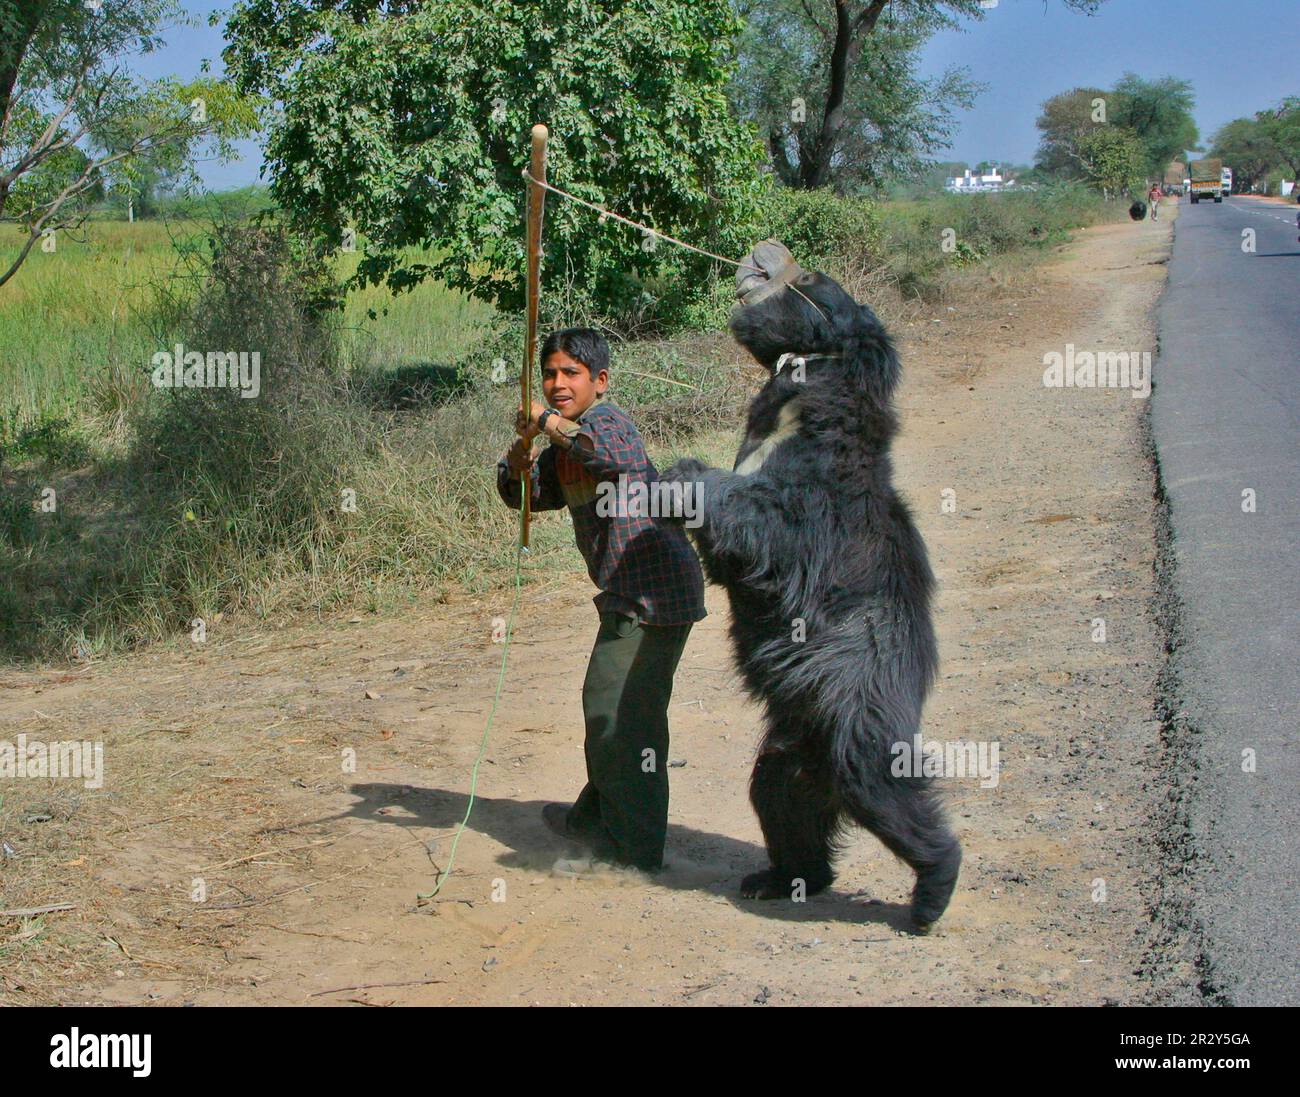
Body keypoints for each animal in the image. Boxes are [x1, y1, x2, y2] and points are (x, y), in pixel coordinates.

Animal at [660, 240, 962, 933]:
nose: (766, 250)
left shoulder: (817, 486)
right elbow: (732, 561)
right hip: (792, 745)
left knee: (881, 786)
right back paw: (780, 878)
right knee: (779, 801)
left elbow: (762, 520)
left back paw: (931, 893)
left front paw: (679, 474)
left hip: (856, 697)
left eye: (813, 277)